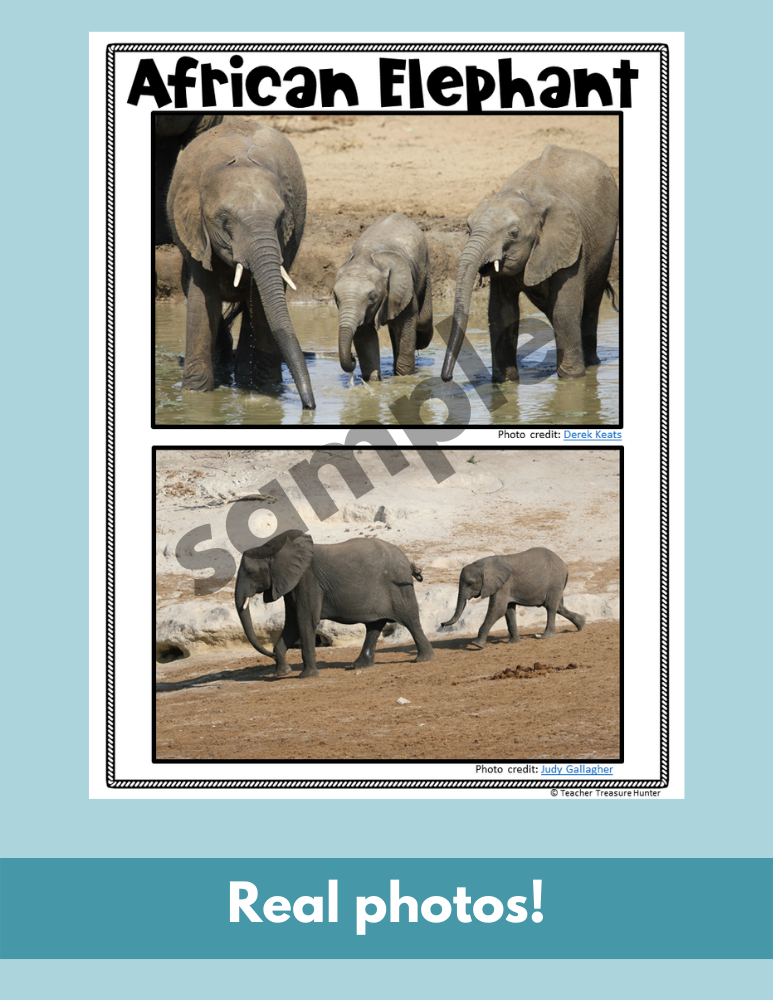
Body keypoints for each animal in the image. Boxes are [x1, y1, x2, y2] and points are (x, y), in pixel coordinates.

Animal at [166, 117, 315, 408]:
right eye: (226, 221)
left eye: (280, 219)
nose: (310, 407)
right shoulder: (196, 232)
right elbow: (203, 298)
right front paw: (195, 397)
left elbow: (260, 302)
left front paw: (266, 389)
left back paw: (249, 380)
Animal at [235, 530, 436, 678]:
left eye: (251, 573)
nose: (271, 655)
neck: (272, 548)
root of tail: (409, 562)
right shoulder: (291, 584)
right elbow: (291, 624)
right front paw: (282, 673)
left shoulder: (308, 581)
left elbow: (304, 620)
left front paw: (307, 676)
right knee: (374, 625)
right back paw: (358, 666)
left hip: (398, 586)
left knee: (410, 619)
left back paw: (424, 659)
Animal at [334, 213, 434, 381]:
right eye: (335, 298)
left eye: (372, 298)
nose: (353, 358)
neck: (364, 256)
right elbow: (365, 337)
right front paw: (374, 381)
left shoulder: (403, 290)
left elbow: (406, 326)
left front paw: (404, 379)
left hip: (424, 269)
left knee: (423, 320)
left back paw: (419, 343)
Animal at [441, 144, 619, 384]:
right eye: (468, 229)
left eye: (514, 233)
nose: (447, 378)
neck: (529, 197)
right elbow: (501, 313)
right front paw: (505, 382)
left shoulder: (571, 247)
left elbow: (565, 310)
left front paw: (572, 380)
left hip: (603, 249)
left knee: (590, 303)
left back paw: (591, 364)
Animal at [441, 547, 585, 647]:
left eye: (470, 583)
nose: (442, 624)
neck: (484, 563)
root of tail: (565, 566)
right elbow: (508, 610)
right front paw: (513, 642)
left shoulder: (503, 584)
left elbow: (497, 610)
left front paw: (477, 644)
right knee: (558, 606)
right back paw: (582, 624)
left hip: (555, 582)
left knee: (550, 607)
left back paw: (546, 637)